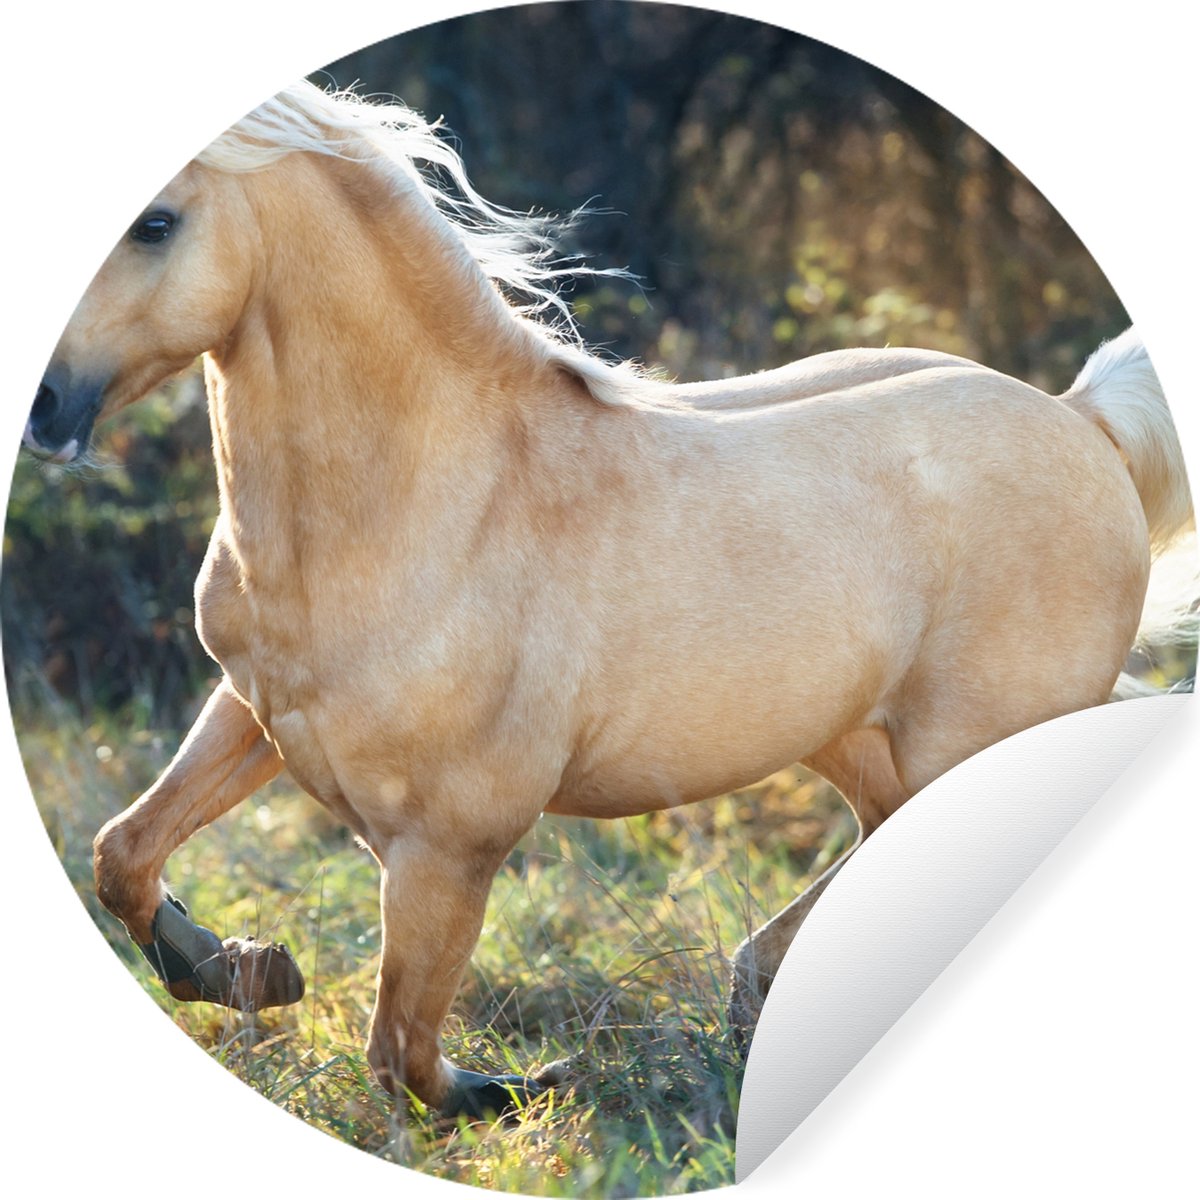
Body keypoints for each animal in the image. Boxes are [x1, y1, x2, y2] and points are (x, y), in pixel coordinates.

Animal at [25, 82, 1193, 1118]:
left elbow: (401, 1052)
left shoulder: (450, 843)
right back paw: (754, 1002)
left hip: (964, 747)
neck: (427, 500)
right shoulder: (254, 709)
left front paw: (508, 1090)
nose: (41, 409)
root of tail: (1083, 421)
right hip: (858, 738)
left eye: (156, 222)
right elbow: (123, 854)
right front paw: (244, 966)